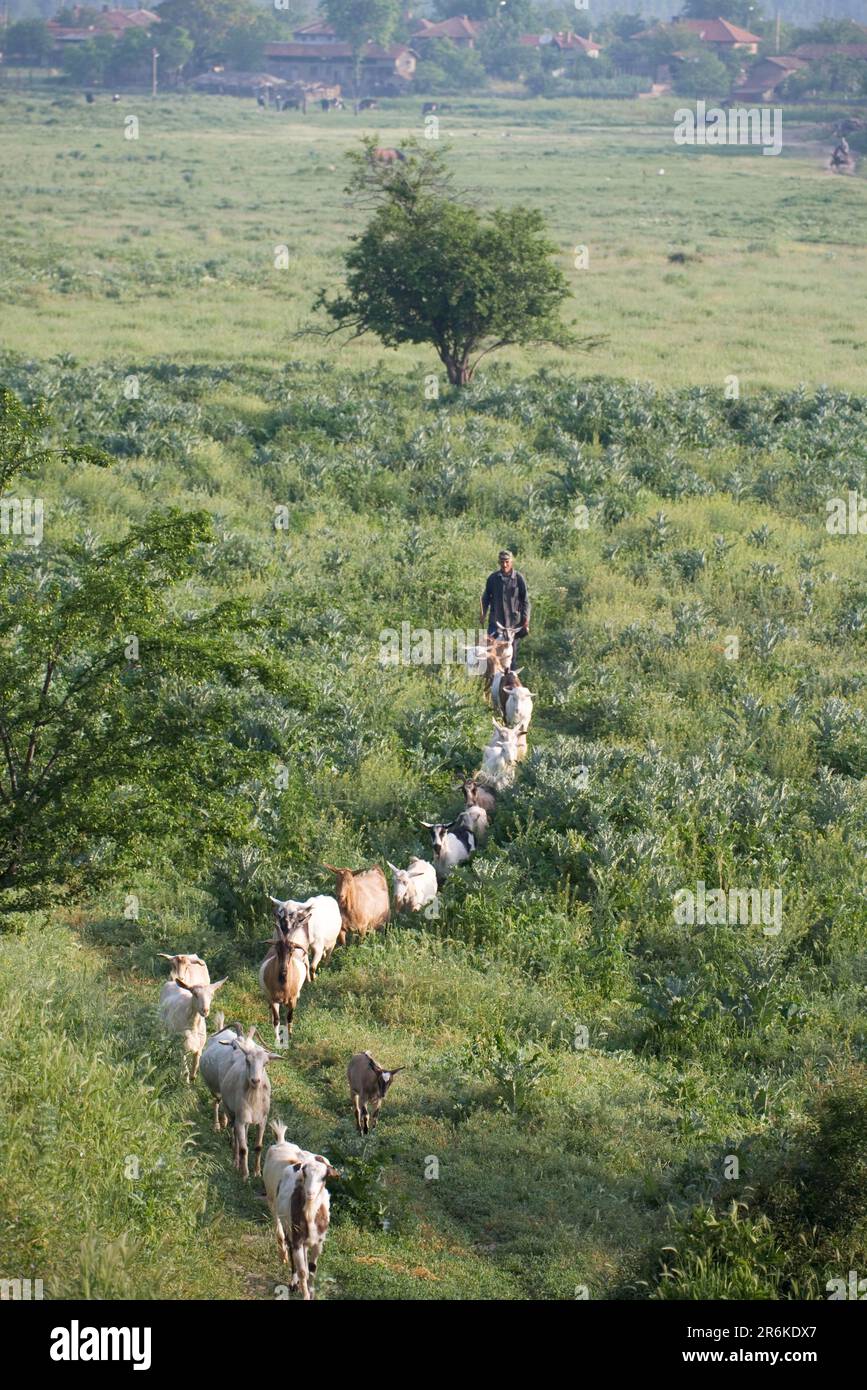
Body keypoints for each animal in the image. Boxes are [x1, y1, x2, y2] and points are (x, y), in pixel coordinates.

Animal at [219, 1038, 281, 1179]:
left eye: (265, 1063)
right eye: (248, 1061)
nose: (255, 1080)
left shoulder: (263, 1120)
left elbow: (258, 1146)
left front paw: (257, 1172)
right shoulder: (240, 1120)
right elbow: (243, 1149)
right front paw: (245, 1174)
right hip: (231, 1113)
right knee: (235, 1136)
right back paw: (236, 1161)